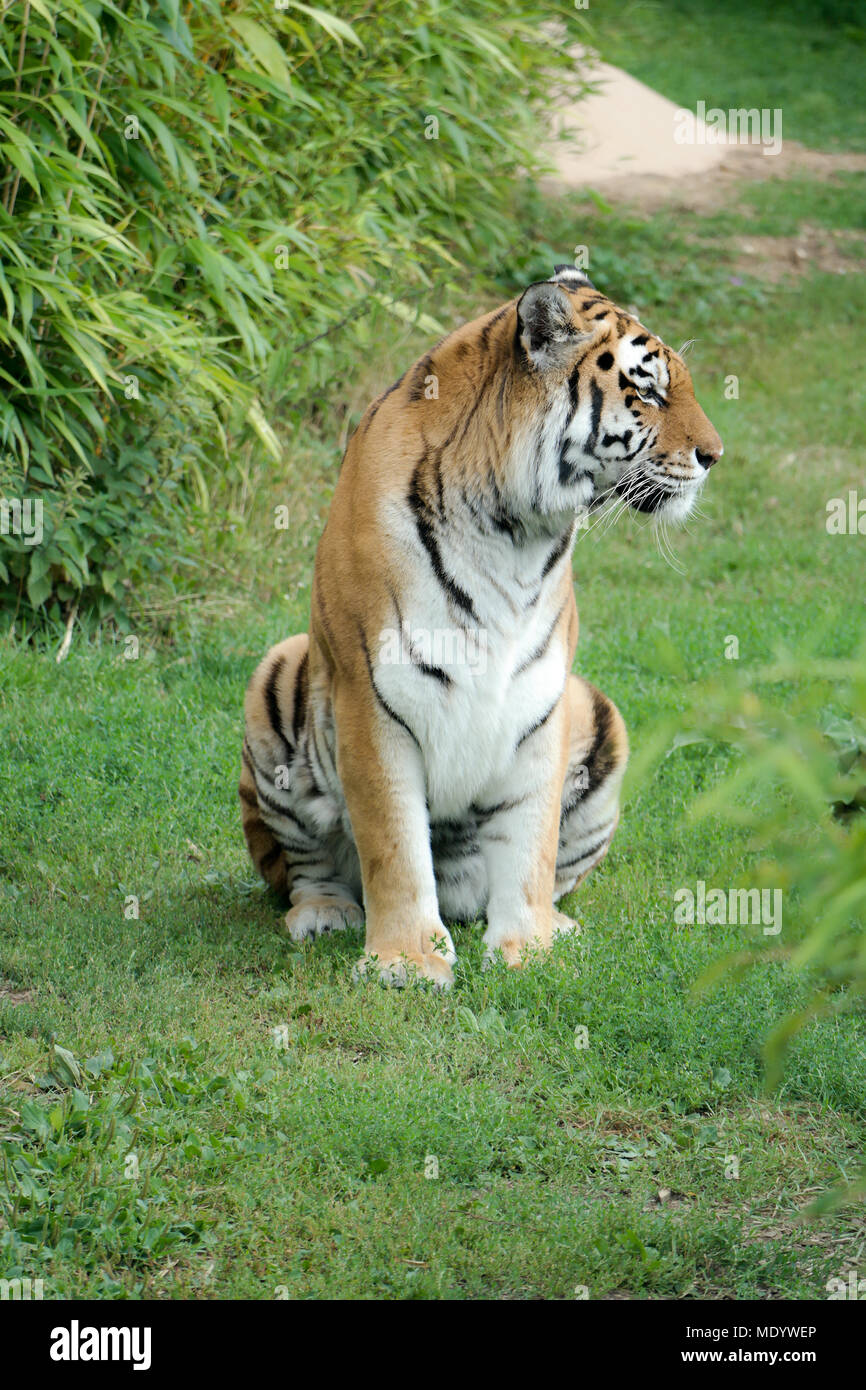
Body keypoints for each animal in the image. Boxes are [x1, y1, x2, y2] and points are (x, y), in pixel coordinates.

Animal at [240, 263, 723, 988]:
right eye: (648, 391)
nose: (714, 455)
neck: (515, 530)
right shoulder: (371, 697)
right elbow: (392, 841)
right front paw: (406, 962)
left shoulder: (540, 695)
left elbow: (530, 841)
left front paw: (531, 948)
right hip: (276, 675)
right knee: (306, 868)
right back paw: (324, 914)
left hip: (598, 711)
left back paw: (560, 925)